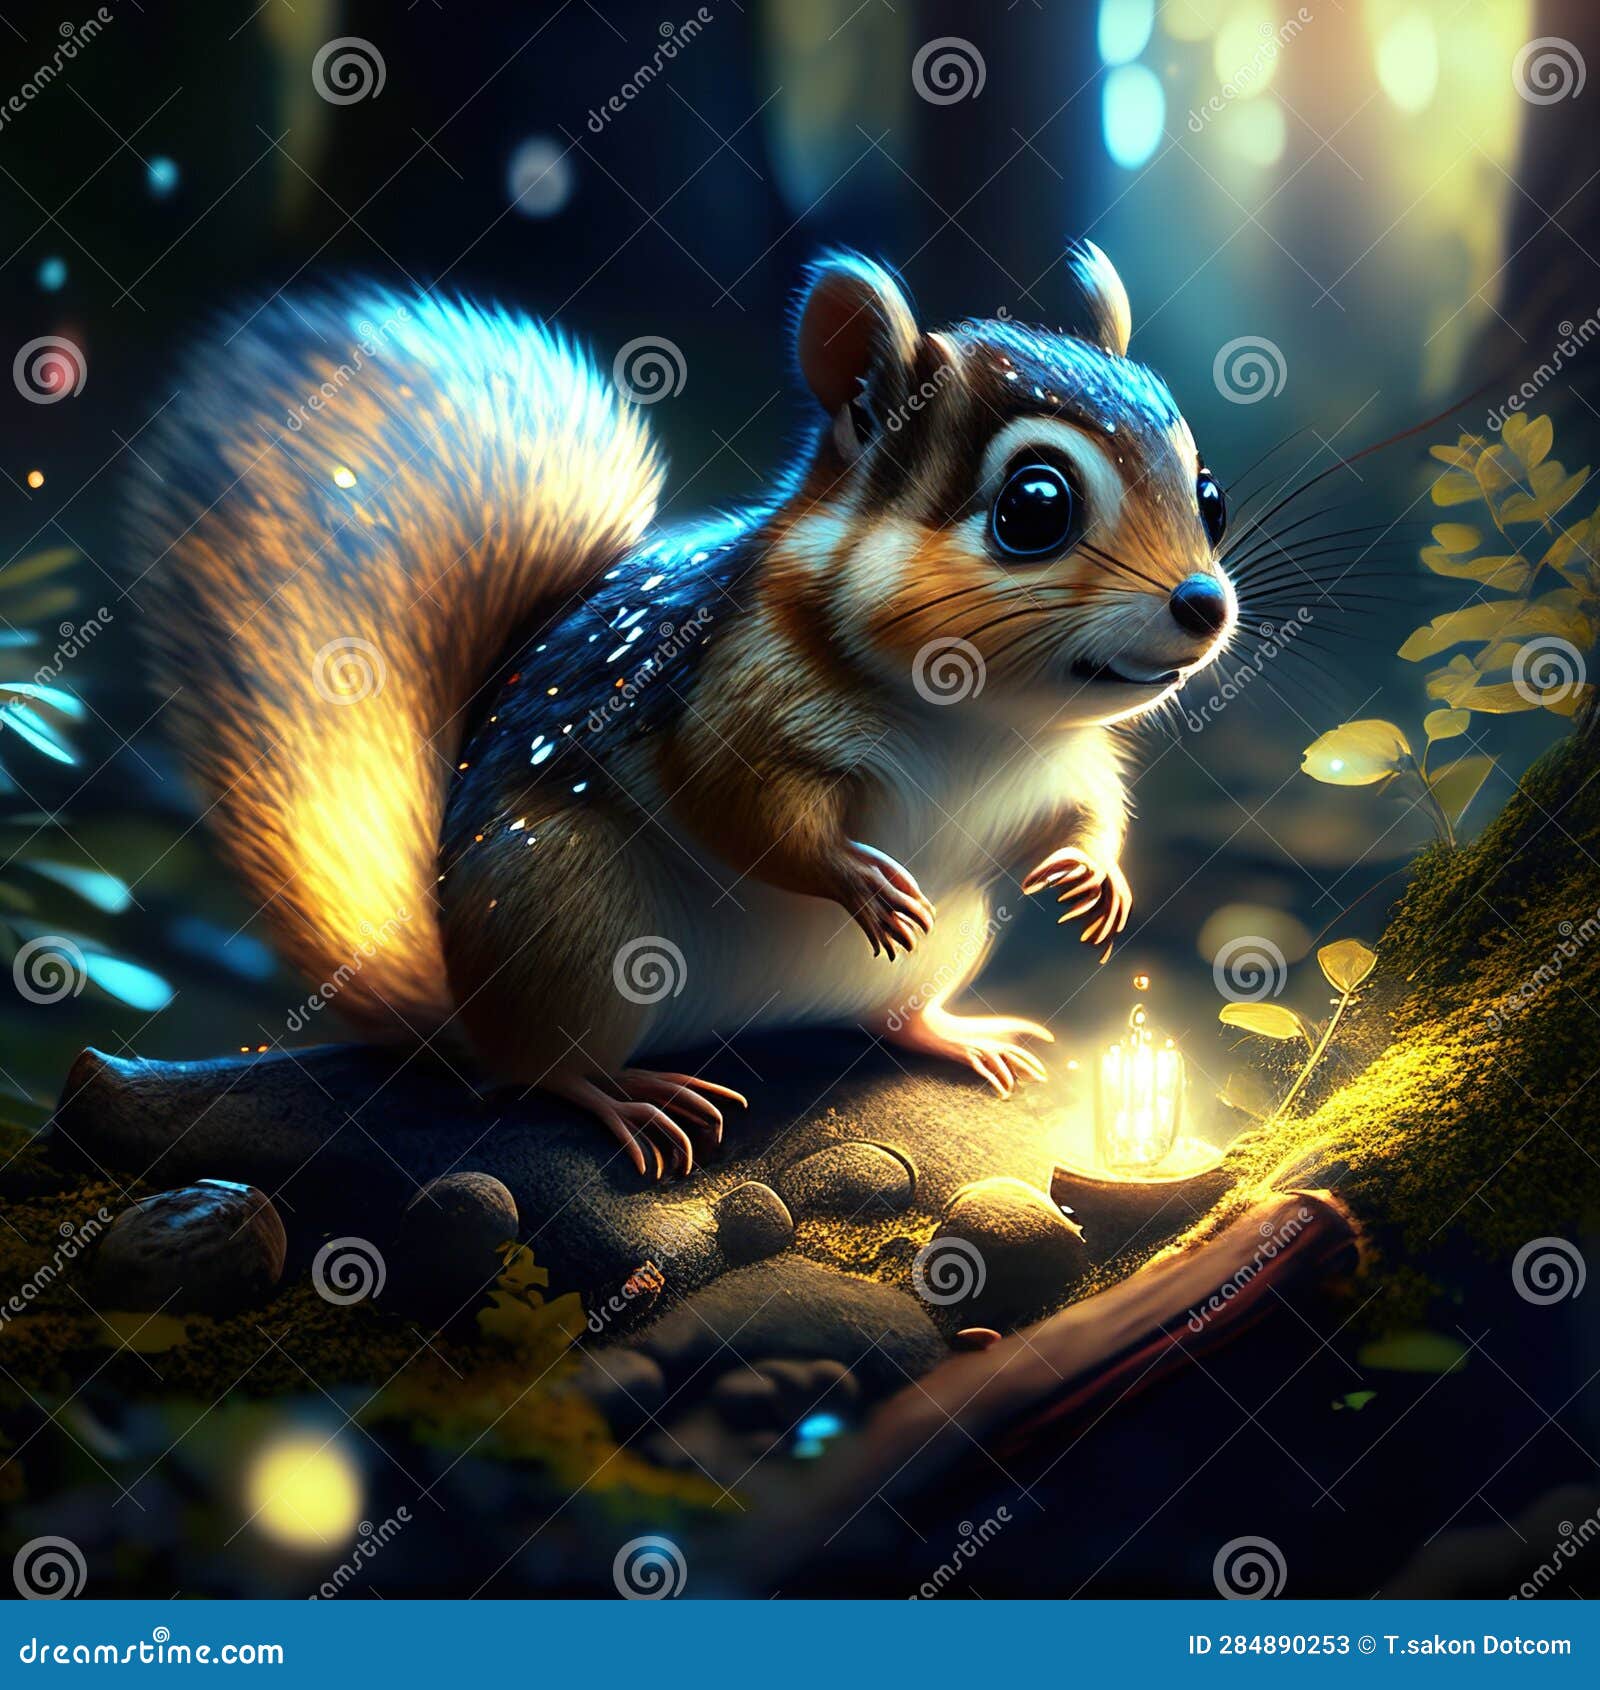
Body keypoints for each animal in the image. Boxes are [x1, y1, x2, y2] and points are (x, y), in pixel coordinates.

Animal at [131, 242, 1235, 1180]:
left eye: (1209, 494)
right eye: (1034, 507)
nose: (1204, 604)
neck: (986, 721)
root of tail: (464, 1005)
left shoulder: (1073, 761)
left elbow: (1092, 812)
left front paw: (1096, 880)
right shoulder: (736, 703)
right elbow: (743, 809)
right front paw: (857, 880)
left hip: (946, 939)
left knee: (889, 1016)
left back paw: (957, 1033)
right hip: (568, 913)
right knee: (541, 1069)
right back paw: (627, 1095)